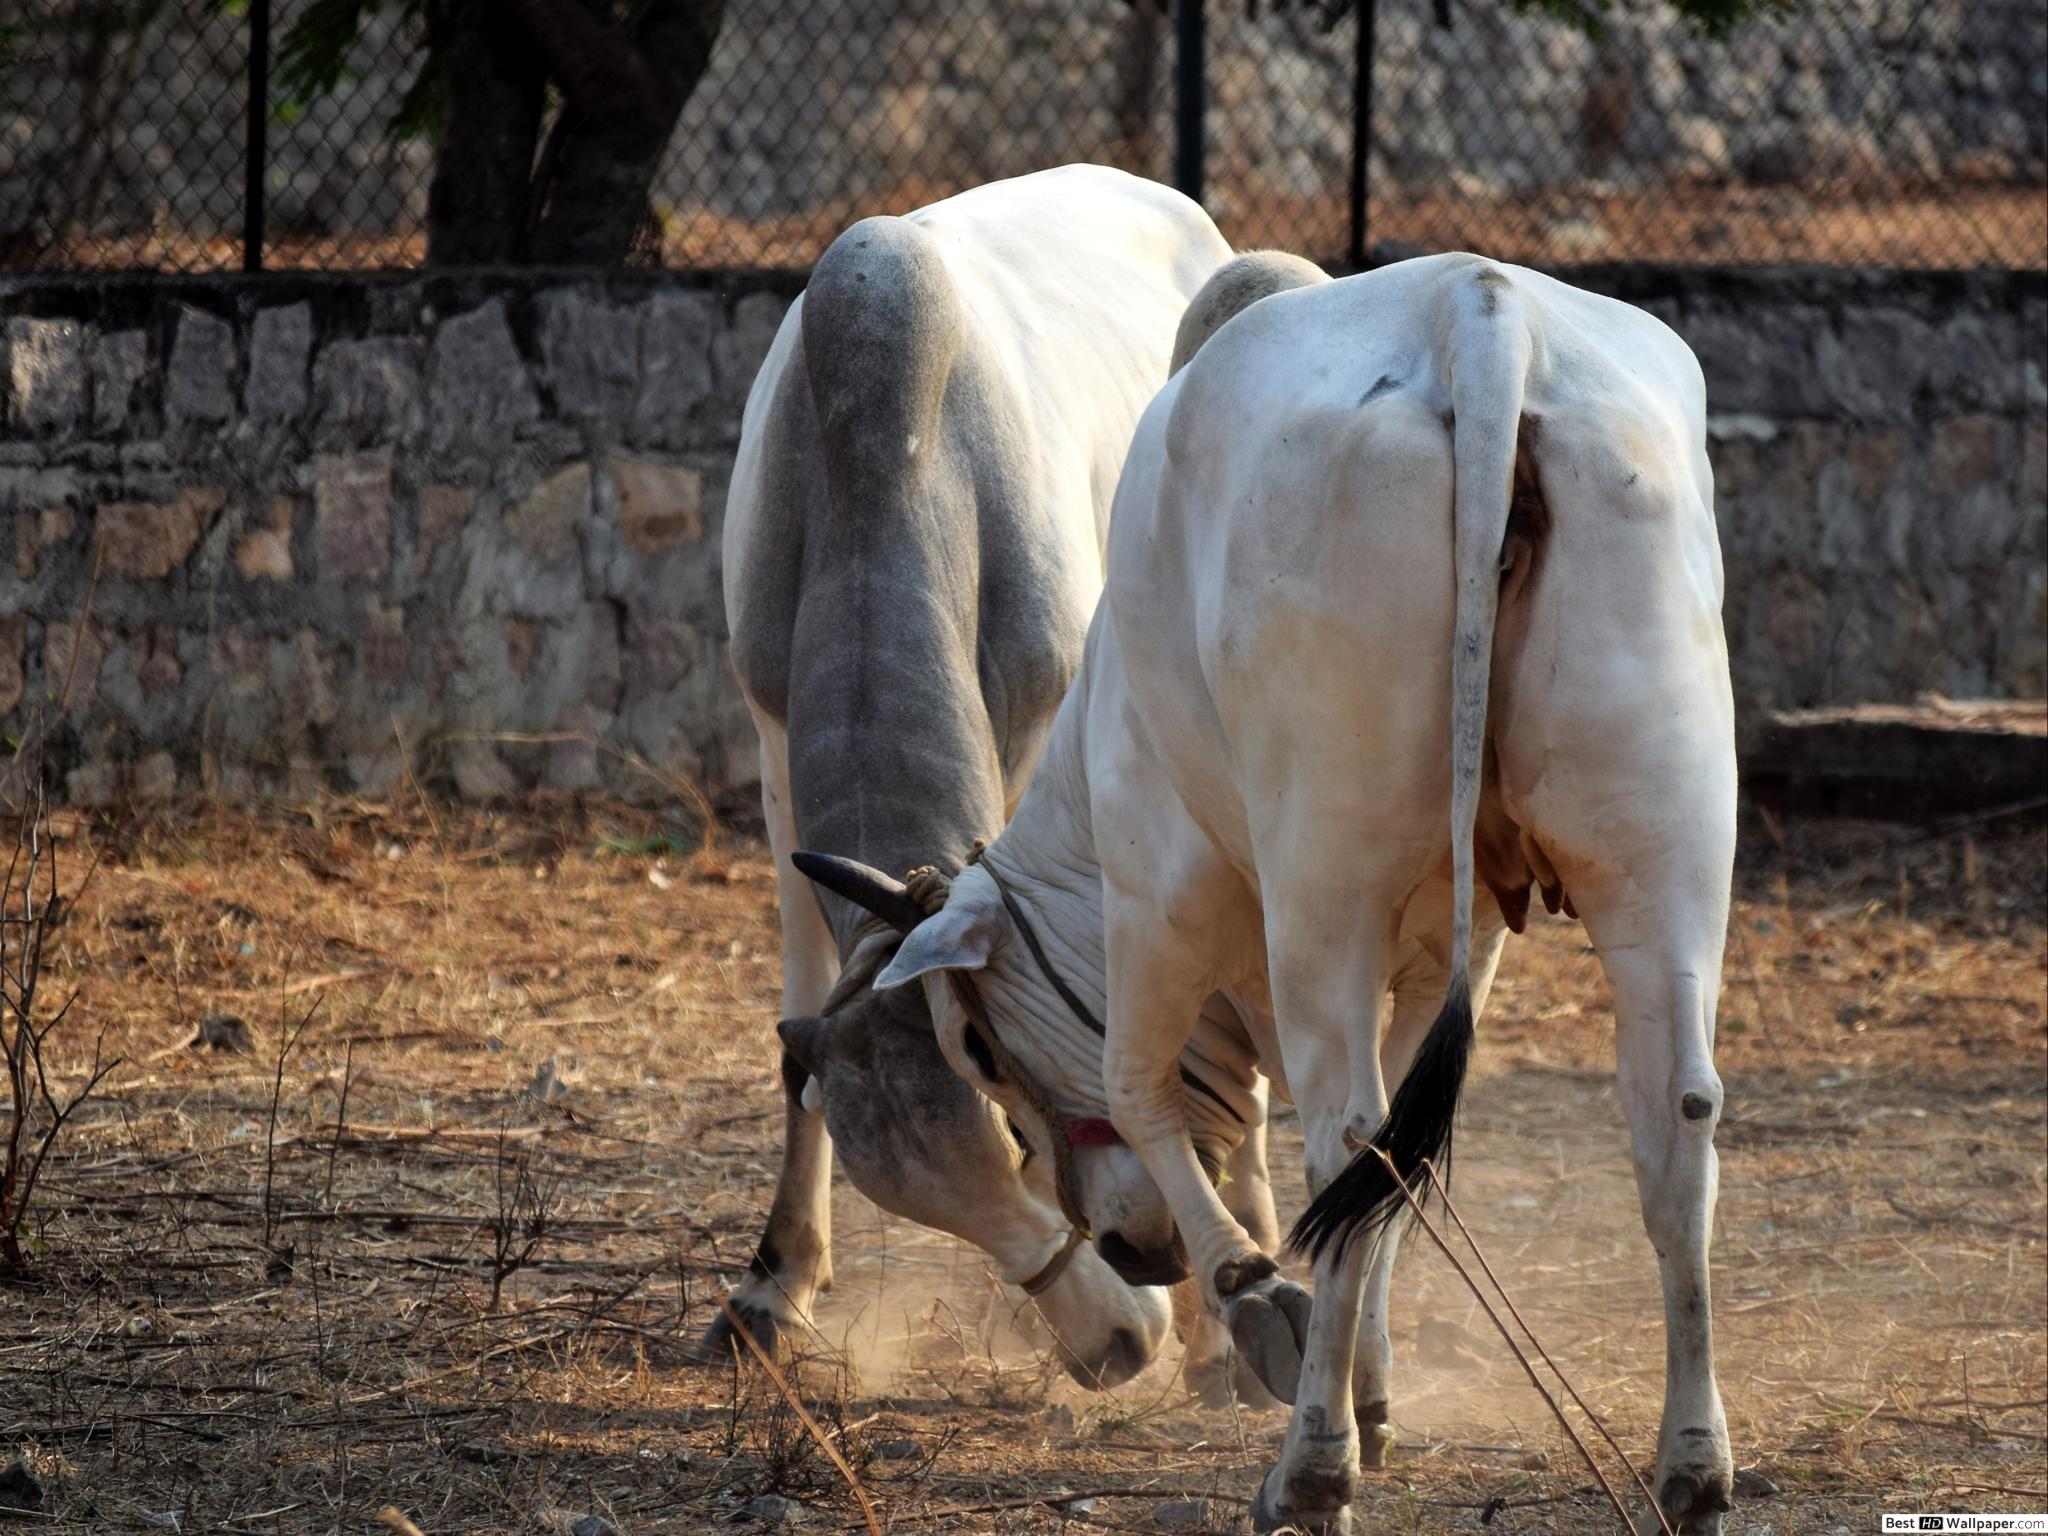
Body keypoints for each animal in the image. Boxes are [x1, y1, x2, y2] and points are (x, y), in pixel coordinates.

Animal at [715, 165, 1281, 1392]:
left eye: (1005, 1118)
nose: (1115, 1348)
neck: (891, 453)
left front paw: (1211, 1328)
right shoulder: (769, 746)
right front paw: (774, 1282)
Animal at [798, 251, 1739, 1531]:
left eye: (979, 1051)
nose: (1130, 1252)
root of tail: (1476, 312)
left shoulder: (1153, 886)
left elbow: (1137, 1086)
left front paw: (1253, 1296)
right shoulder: (1441, 951)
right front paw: (1370, 1386)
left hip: (1319, 890)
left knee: (1349, 1134)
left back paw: (1310, 1472)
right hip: (1661, 848)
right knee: (1667, 1111)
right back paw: (1690, 1468)